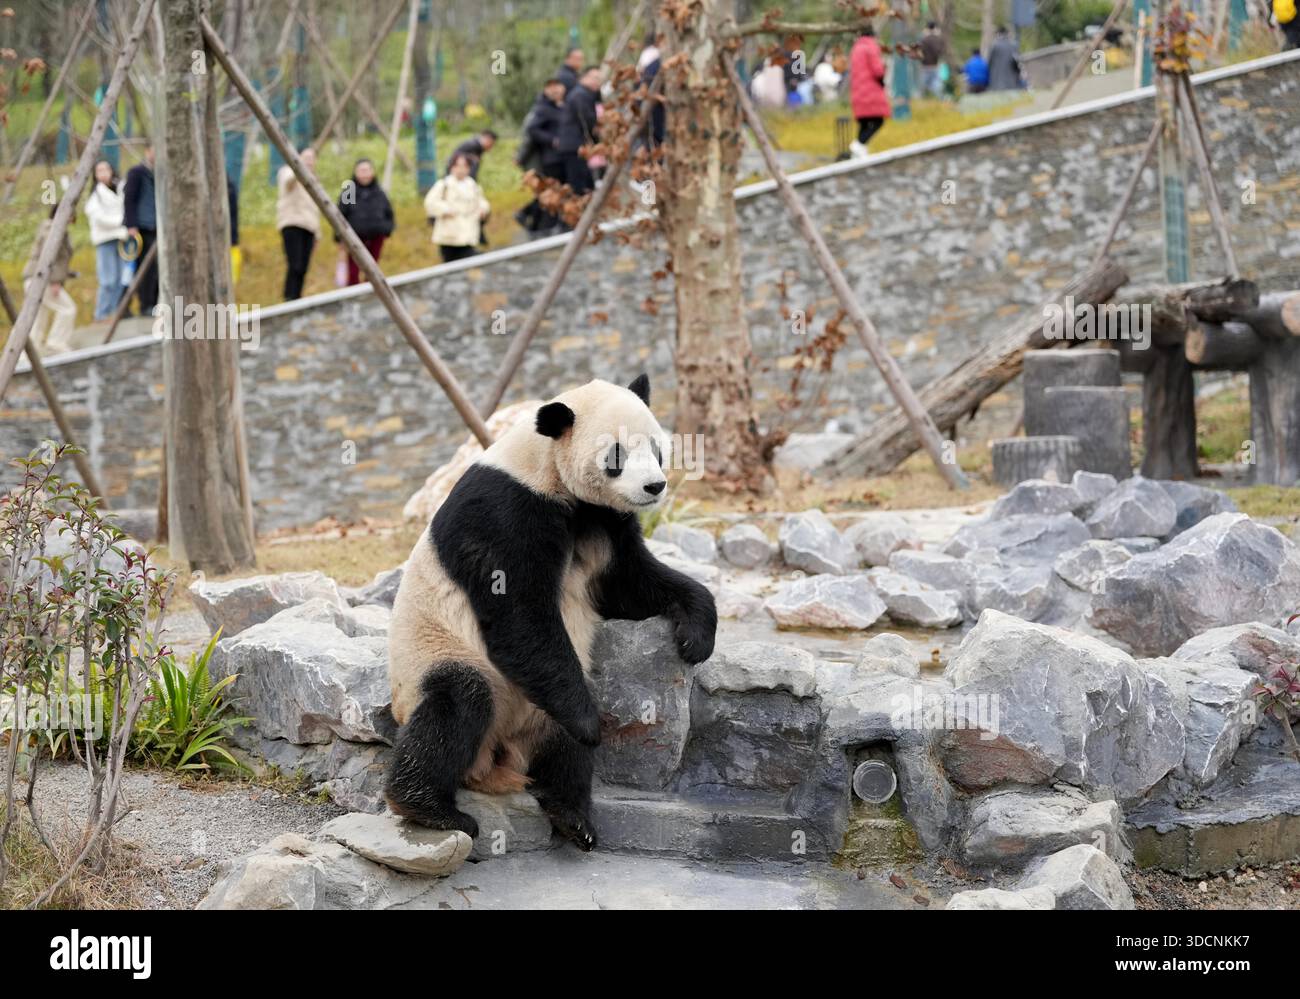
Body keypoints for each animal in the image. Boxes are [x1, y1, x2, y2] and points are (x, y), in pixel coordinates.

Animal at [385, 374, 717, 850]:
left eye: (656, 449)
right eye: (616, 455)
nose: (655, 487)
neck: (548, 472)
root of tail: (497, 755)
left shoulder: (604, 520)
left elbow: (631, 584)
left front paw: (696, 636)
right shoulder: (506, 512)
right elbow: (519, 616)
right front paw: (592, 727)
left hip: (536, 706)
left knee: (561, 744)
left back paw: (573, 817)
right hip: (432, 655)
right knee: (456, 703)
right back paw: (427, 807)